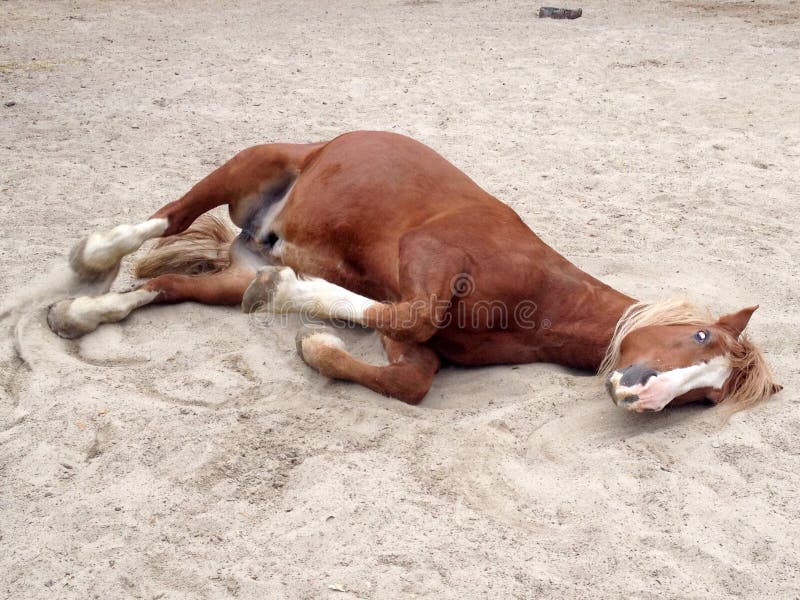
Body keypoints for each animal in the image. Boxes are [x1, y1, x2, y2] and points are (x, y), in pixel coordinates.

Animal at [46, 131, 781, 411]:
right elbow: (415, 315)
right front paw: (295, 297)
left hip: (230, 274)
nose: (641, 397)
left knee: (164, 283)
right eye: (699, 336)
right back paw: (95, 255)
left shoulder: (414, 343)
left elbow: (409, 378)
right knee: (166, 221)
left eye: (707, 397)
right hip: (250, 163)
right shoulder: (431, 259)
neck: (544, 294)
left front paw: (315, 342)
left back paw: (82, 311)